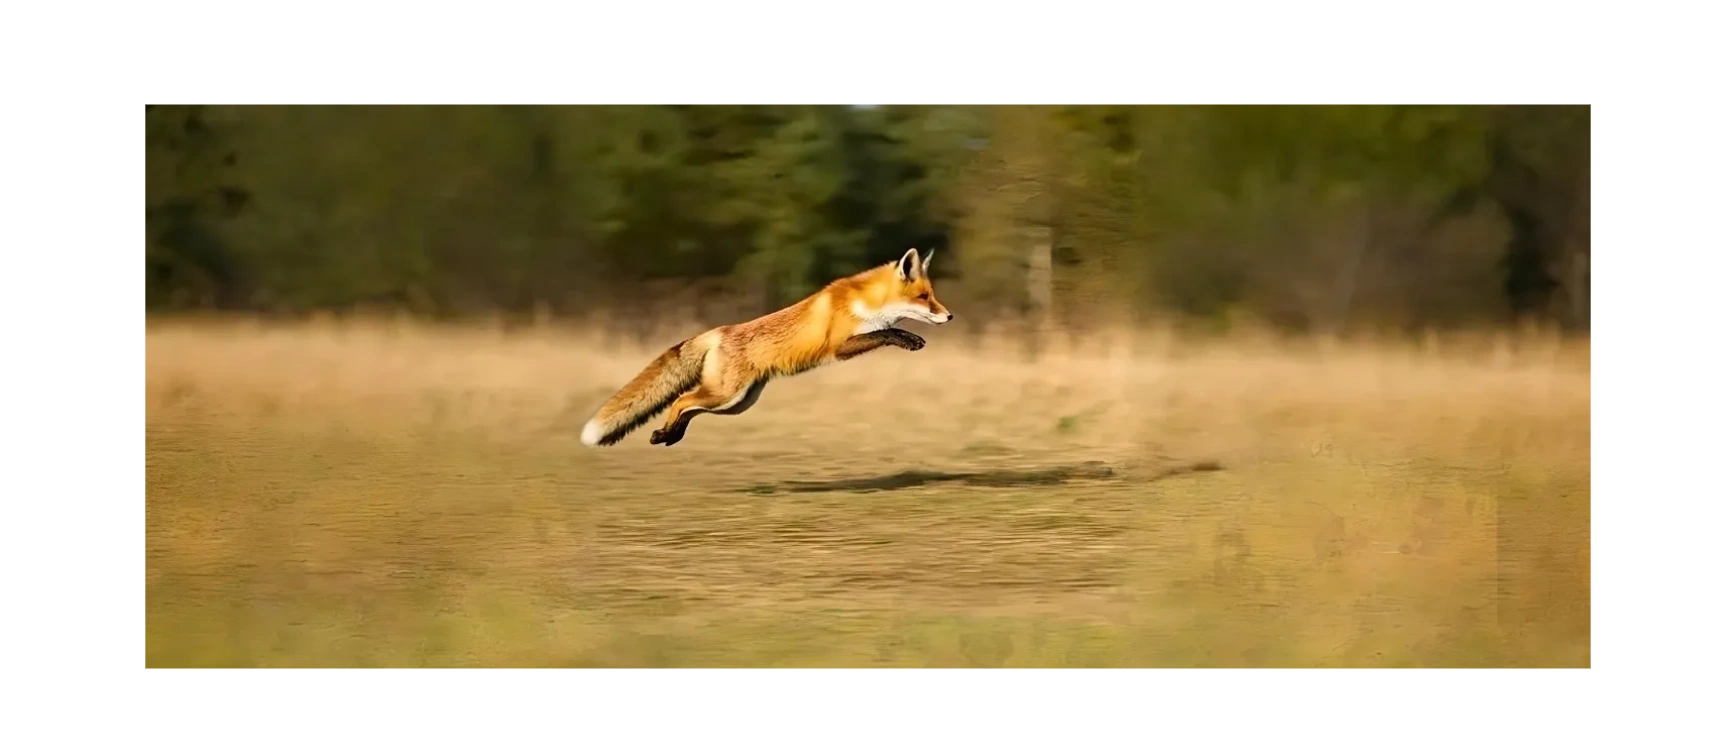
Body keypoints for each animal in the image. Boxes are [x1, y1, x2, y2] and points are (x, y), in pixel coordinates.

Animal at [580, 247, 953, 448]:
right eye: (924, 297)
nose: (949, 316)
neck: (866, 304)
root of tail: (716, 331)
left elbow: (885, 330)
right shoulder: (839, 346)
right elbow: (886, 333)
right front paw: (909, 339)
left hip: (735, 403)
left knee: (690, 407)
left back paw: (671, 435)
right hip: (725, 395)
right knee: (682, 400)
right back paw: (666, 433)